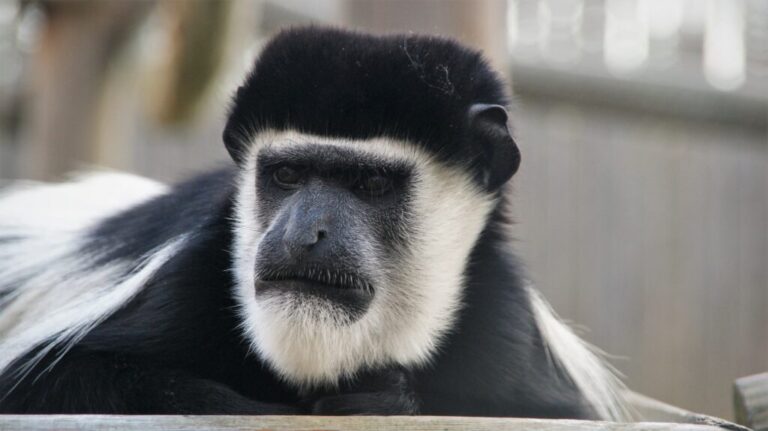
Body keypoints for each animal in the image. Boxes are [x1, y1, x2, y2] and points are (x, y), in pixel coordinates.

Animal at [0, 27, 629, 419]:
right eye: (287, 175)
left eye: (370, 185)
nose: (305, 236)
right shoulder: (188, 274)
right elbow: (43, 383)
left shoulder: (502, 329)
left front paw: (383, 398)